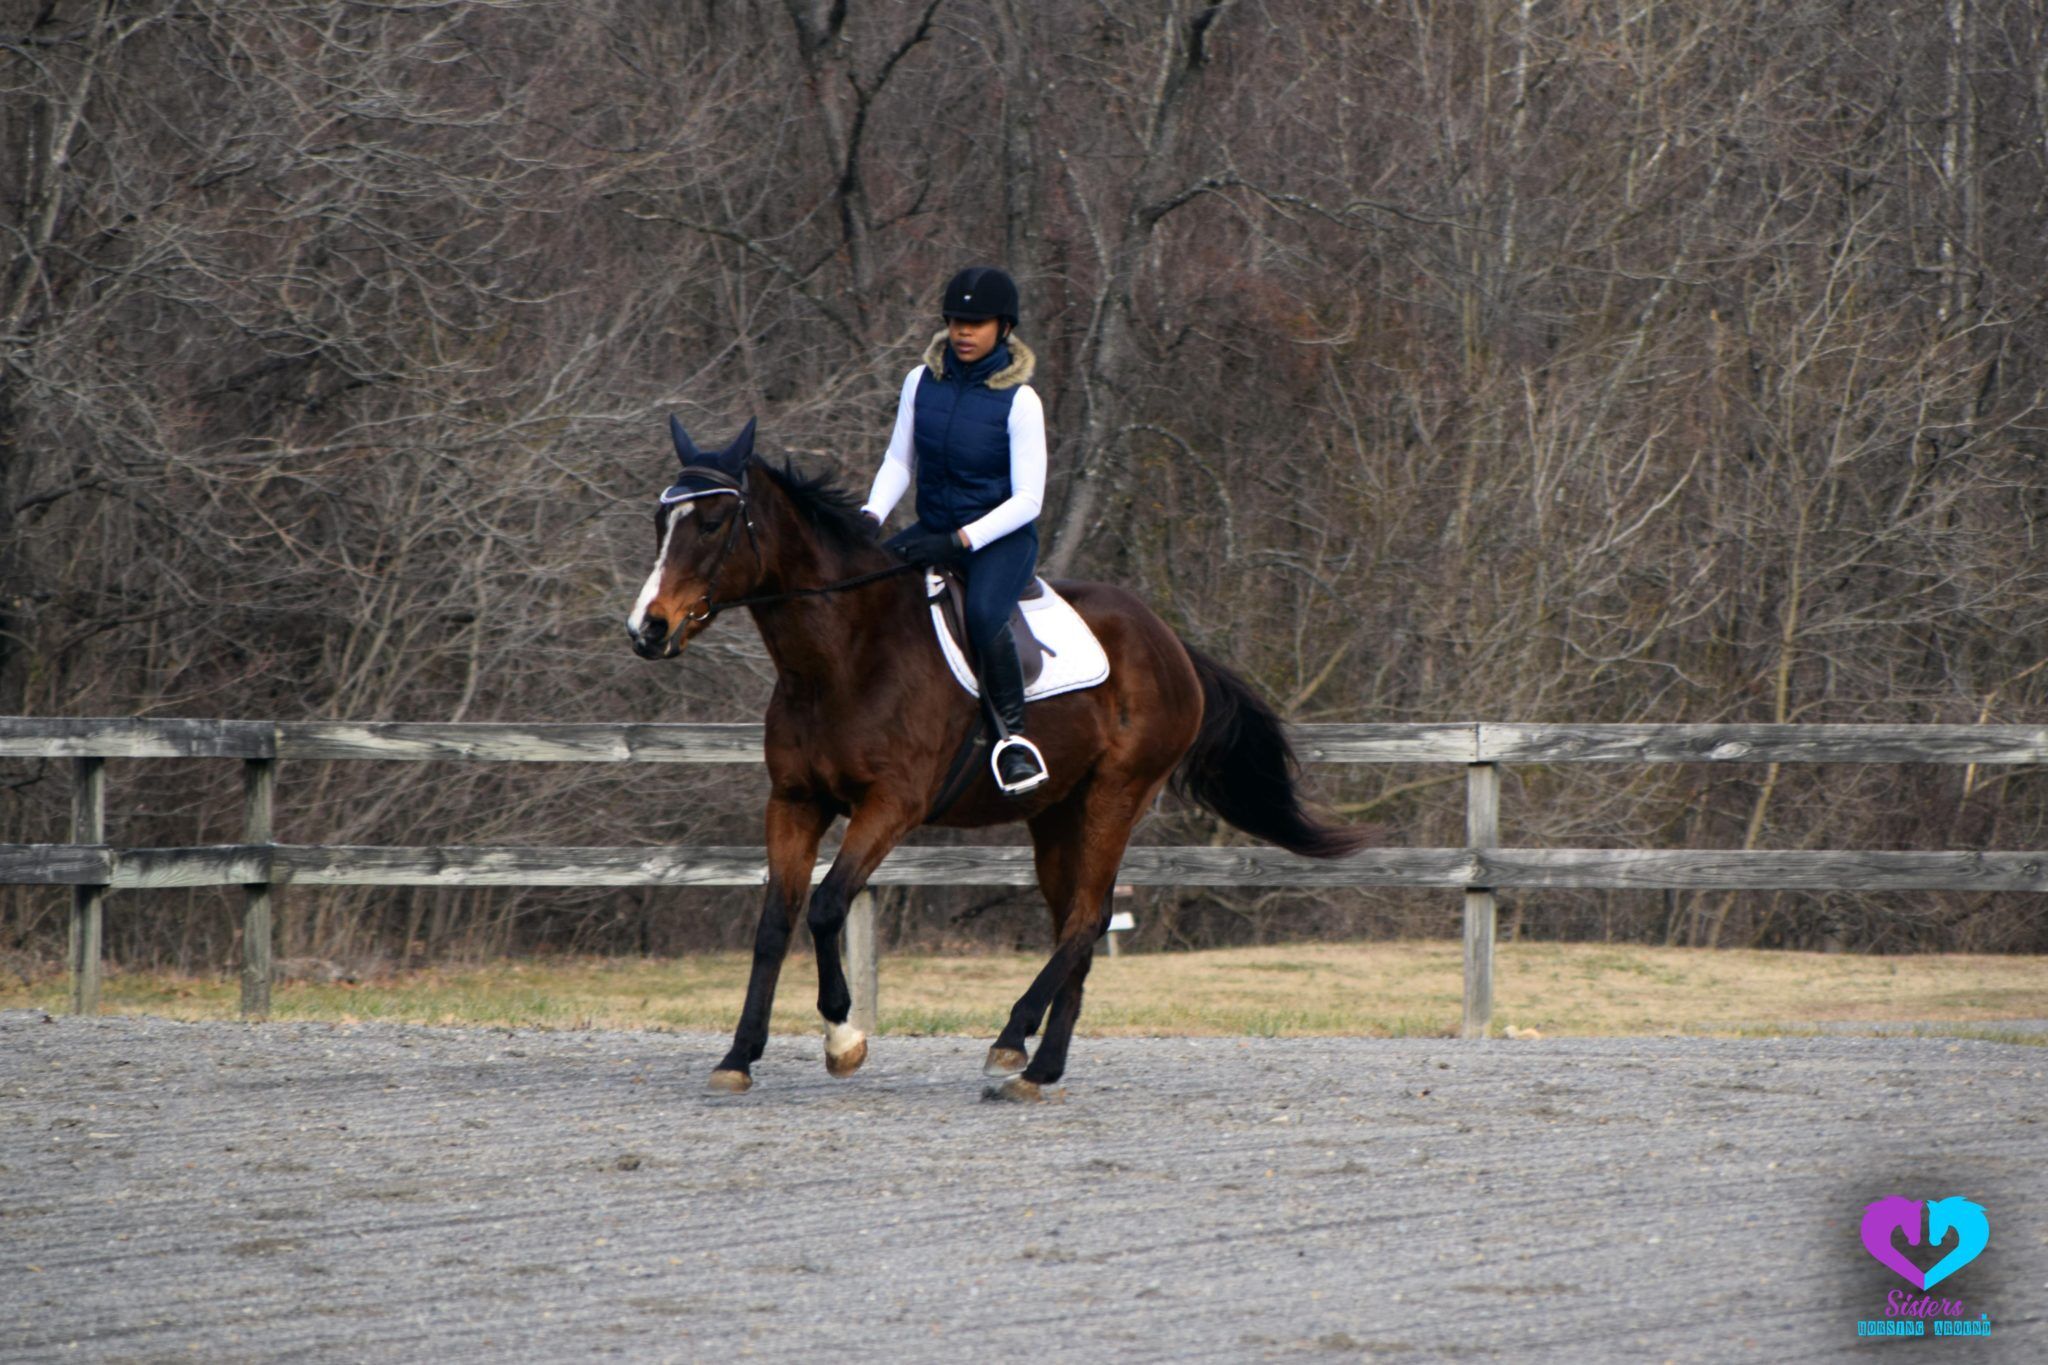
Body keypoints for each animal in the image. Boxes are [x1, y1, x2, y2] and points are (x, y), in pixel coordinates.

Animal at [624, 416, 1368, 1100]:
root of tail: (1171, 643)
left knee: (1084, 920)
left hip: (1117, 794)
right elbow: (776, 920)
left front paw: (844, 1038)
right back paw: (1042, 1067)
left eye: (714, 521)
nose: (647, 629)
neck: (838, 657)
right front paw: (739, 1054)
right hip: (1056, 813)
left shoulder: (891, 804)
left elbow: (830, 905)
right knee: (1080, 923)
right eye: (661, 520)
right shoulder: (795, 801)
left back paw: (1014, 1042)